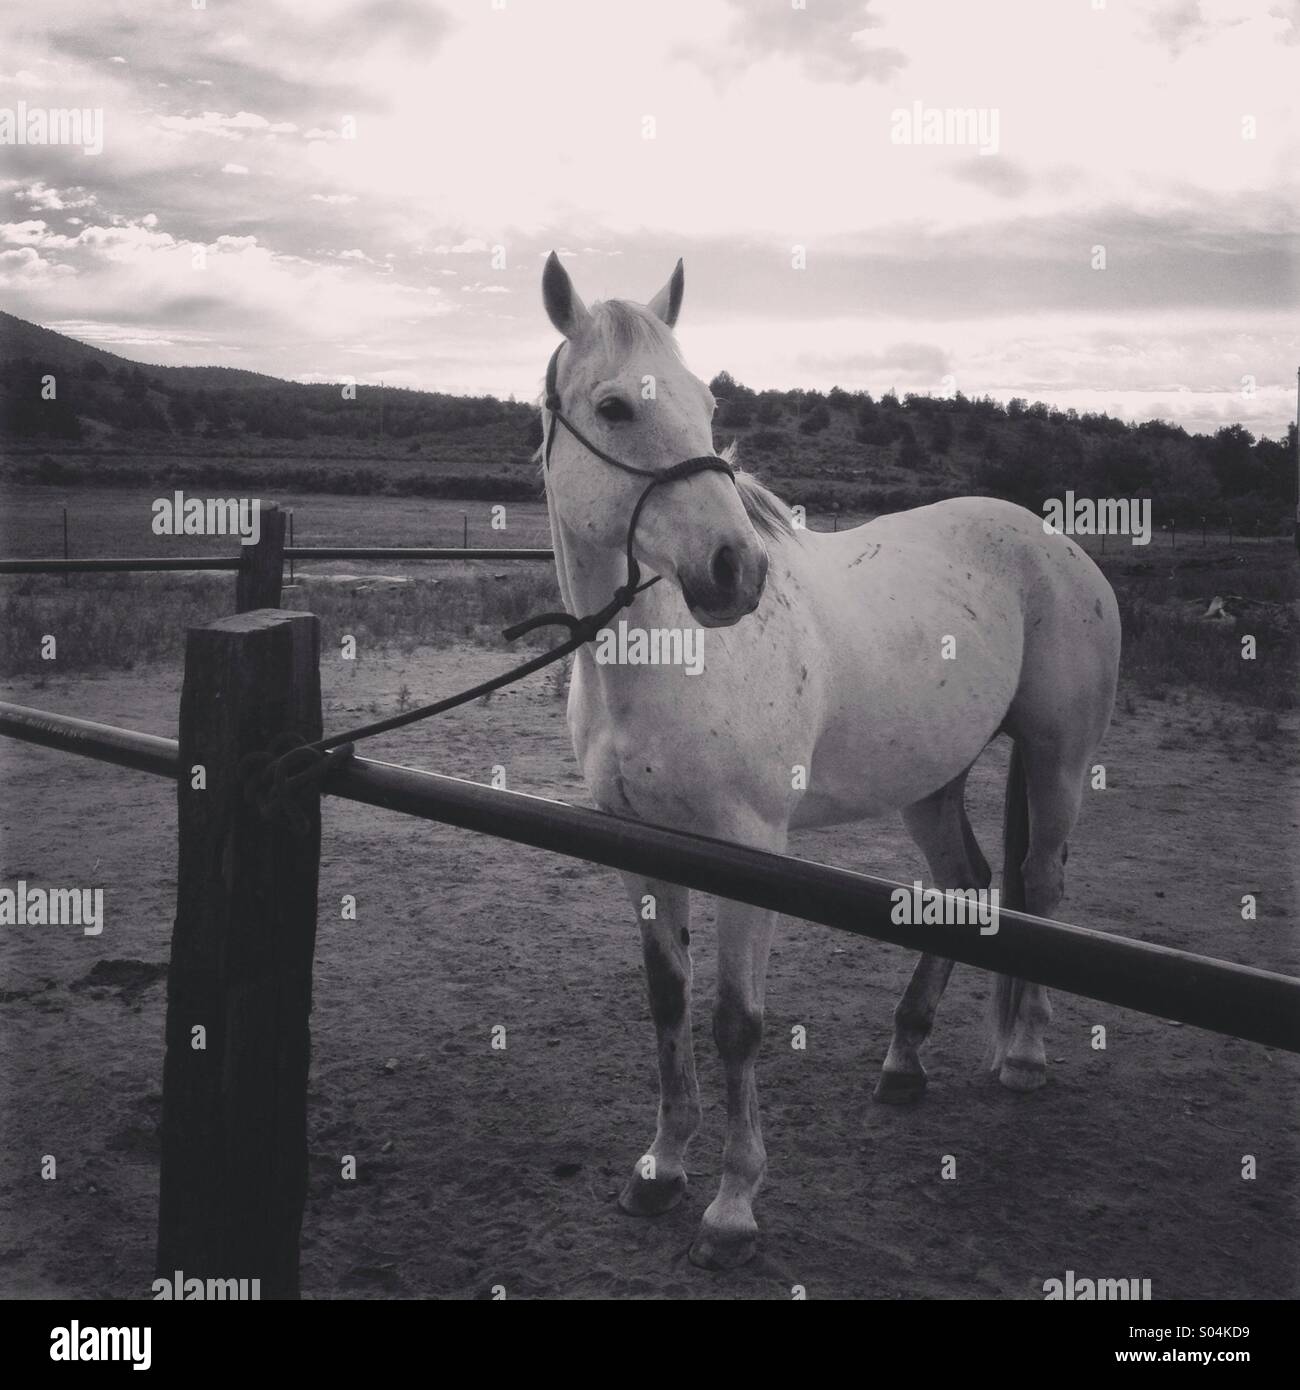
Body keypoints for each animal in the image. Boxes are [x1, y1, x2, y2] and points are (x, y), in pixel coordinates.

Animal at [537, 252, 1121, 1270]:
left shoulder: (748, 848)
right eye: (613, 408)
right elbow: (667, 1003)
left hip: (1055, 767)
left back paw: (1024, 1056)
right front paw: (662, 1168)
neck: (662, 661)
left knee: (1041, 889)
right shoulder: (640, 847)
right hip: (930, 784)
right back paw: (905, 1059)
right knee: (963, 887)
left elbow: (736, 1023)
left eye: (708, 403)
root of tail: (1055, 543)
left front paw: (732, 1207)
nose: (735, 571)